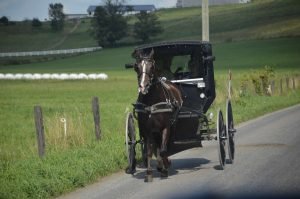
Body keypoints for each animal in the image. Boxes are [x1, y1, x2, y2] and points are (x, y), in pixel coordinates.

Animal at [133, 49, 183, 182]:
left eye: (152, 66)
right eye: (136, 67)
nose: (143, 86)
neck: (152, 103)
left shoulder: (166, 127)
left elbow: (164, 150)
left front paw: (166, 167)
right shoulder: (147, 131)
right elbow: (149, 152)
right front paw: (149, 173)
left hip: (172, 126)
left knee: (164, 146)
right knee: (156, 146)